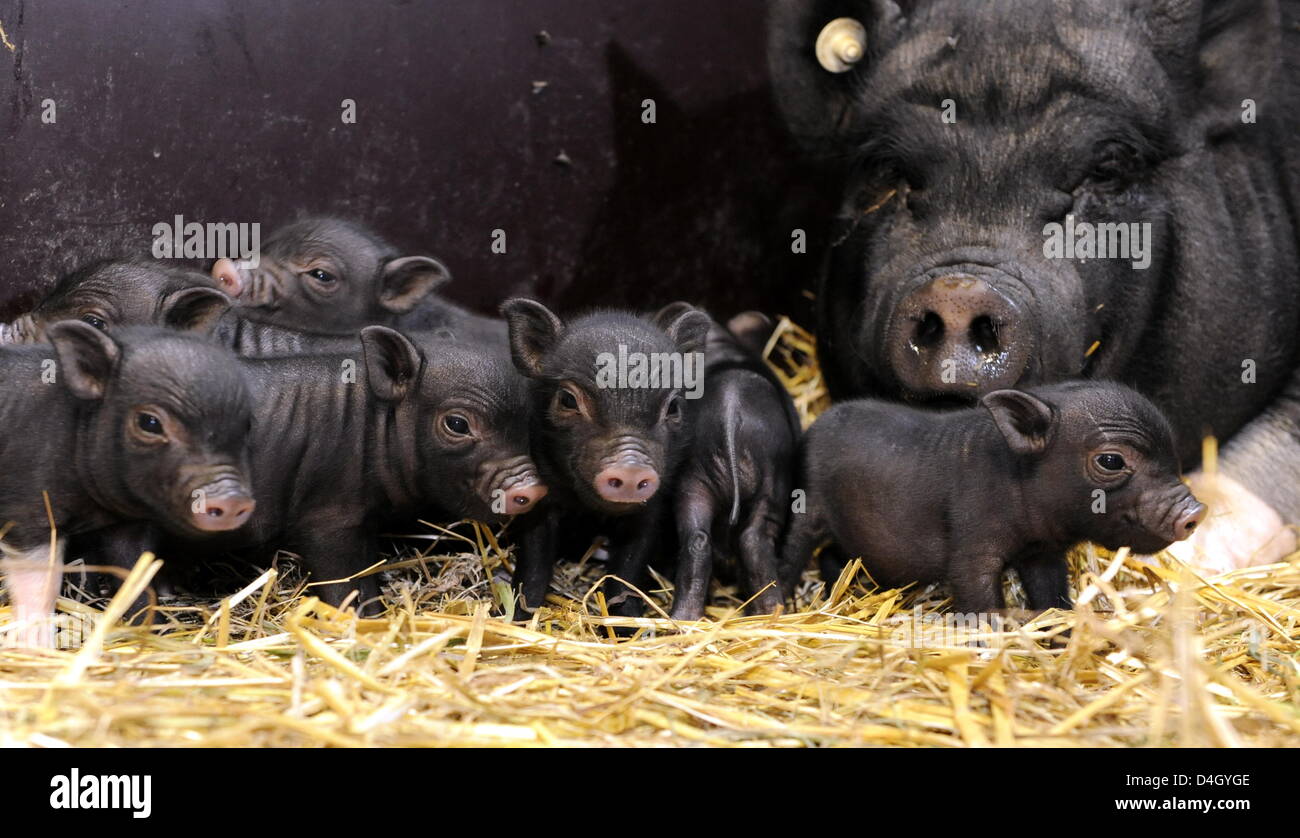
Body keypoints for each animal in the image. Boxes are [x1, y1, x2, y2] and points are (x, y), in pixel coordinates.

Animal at [0, 324, 255, 644]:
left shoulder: (129, 526)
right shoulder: (27, 512)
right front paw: (37, 646)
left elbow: (136, 574)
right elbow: (40, 583)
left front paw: (156, 631)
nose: (233, 499)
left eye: (246, 426)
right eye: (149, 422)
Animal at [160, 327, 546, 613]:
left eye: (527, 424)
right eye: (457, 424)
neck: (371, 426)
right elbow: (342, 581)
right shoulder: (326, 518)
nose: (535, 488)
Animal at [501, 299, 710, 617]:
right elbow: (534, 562)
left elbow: (628, 570)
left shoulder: (651, 510)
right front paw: (519, 617)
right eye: (567, 399)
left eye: (673, 406)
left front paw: (631, 621)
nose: (631, 468)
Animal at [654, 303, 801, 620]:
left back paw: (683, 619)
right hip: (773, 480)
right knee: (753, 538)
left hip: (695, 479)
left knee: (697, 541)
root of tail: (730, 415)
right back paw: (771, 613)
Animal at [780, 381, 1206, 613]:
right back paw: (778, 604)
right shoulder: (972, 542)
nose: (1196, 510)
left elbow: (1052, 593)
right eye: (1111, 460)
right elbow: (977, 592)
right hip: (808, 505)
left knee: (831, 555)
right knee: (794, 549)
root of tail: (815, 425)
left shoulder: (1041, 553)